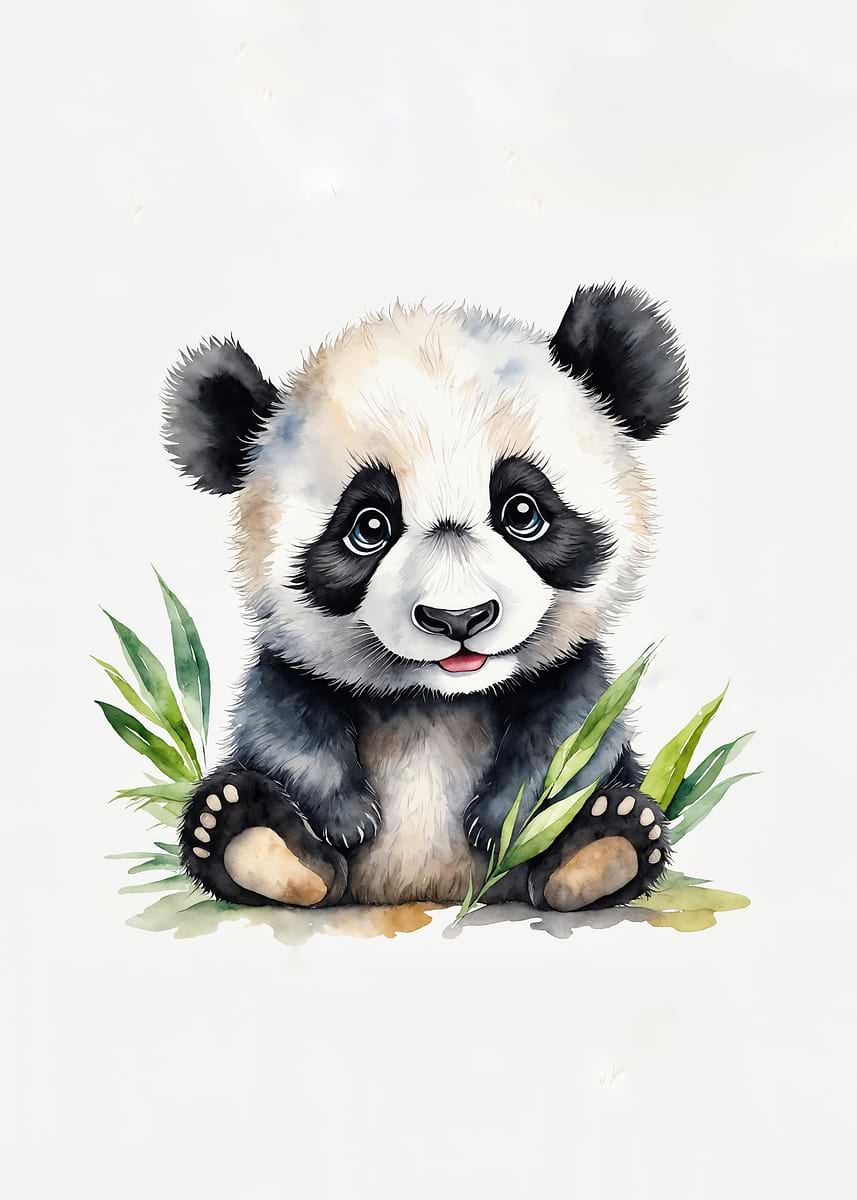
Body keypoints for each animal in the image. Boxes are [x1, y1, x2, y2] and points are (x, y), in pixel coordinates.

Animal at [162, 283, 687, 913]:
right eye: (368, 526)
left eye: (523, 511)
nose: (458, 619)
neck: (437, 700)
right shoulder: (292, 669)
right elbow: (280, 724)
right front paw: (348, 818)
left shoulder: (571, 673)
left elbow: (572, 734)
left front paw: (502, 820)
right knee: (236, 805)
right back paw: (254, 839)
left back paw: (604, 847)